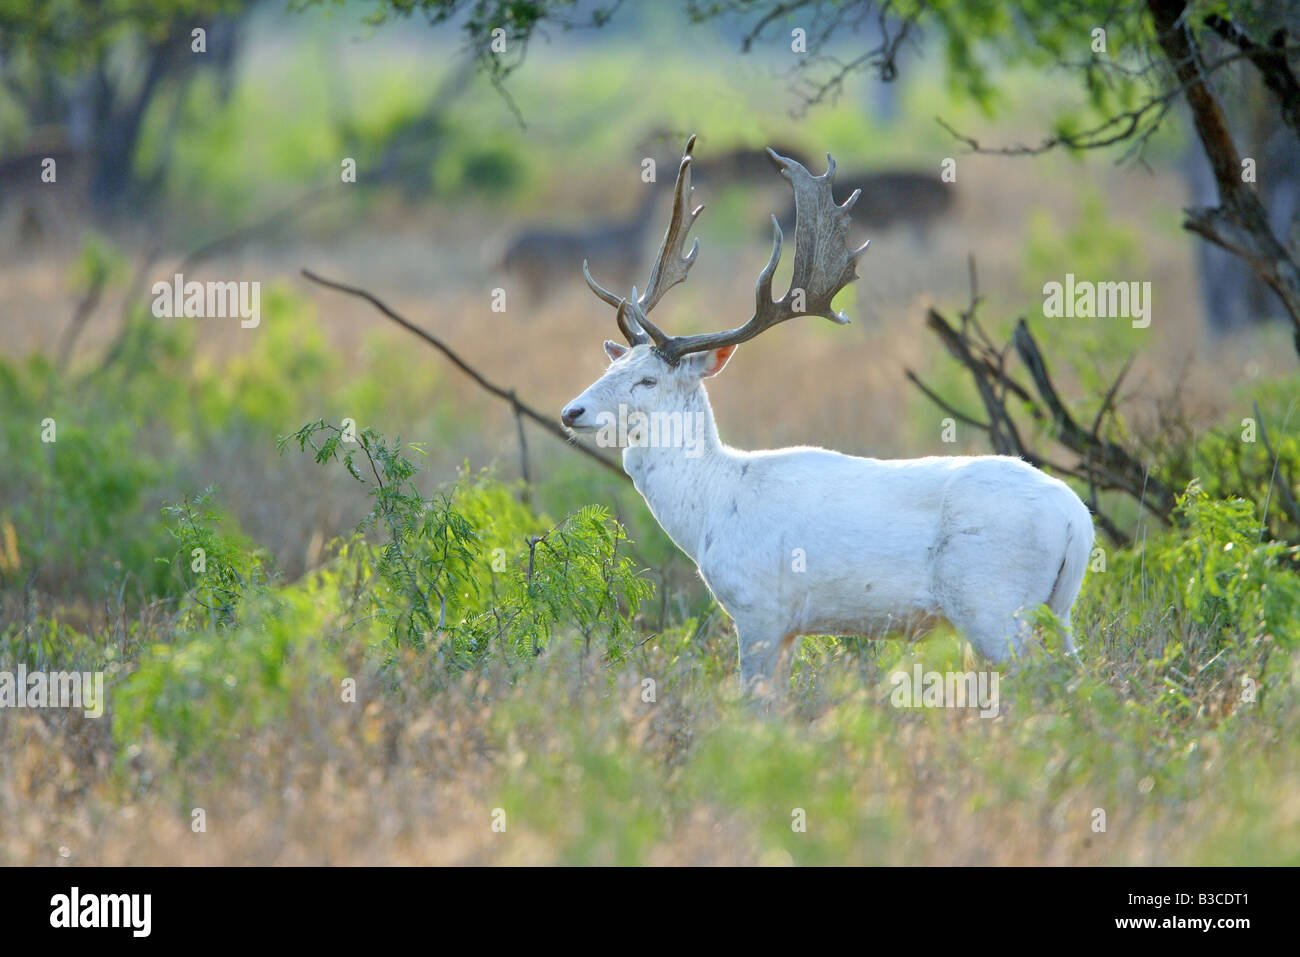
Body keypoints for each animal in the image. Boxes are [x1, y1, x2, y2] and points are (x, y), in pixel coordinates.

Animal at [561, 136, 1095, 694]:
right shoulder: (788, 628)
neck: (712, 505)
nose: (571, 411)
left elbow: (753, 700)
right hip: (1053, 607)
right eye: (612, 363)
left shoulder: (759, 609)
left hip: (993, 603)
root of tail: (1077, 519)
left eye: (648, 379)